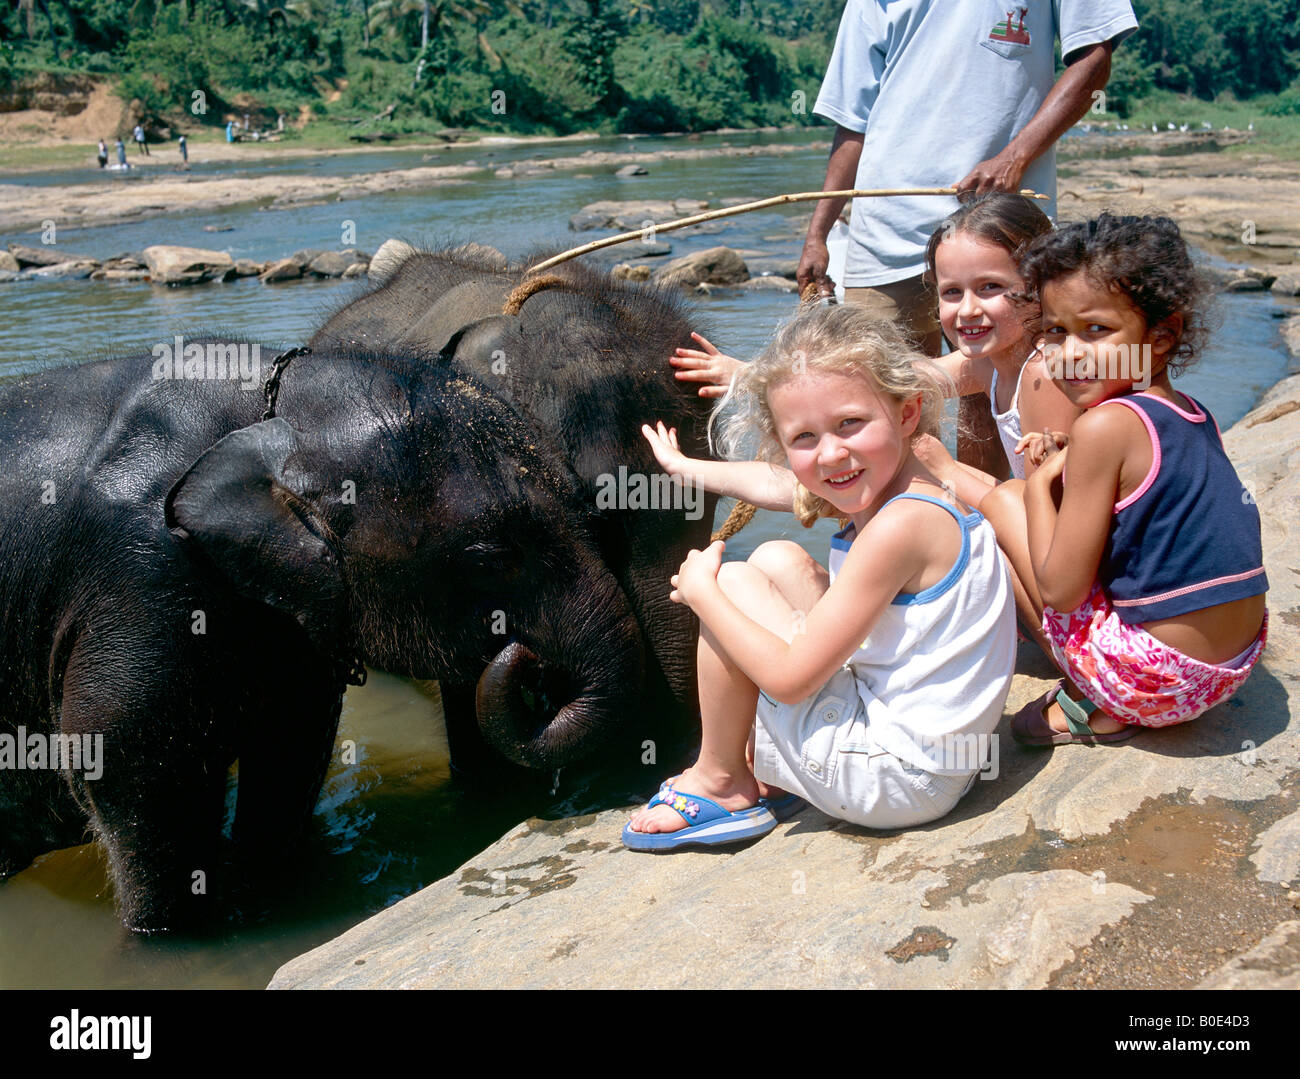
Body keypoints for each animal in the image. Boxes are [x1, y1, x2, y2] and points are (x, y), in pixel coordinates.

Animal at [0, 257, 714, 930]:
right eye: (492, 558)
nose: (525, 654)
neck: (274, 413)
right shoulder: (140, 575)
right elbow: (127, 757)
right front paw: (170, 936)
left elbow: (292, 743)